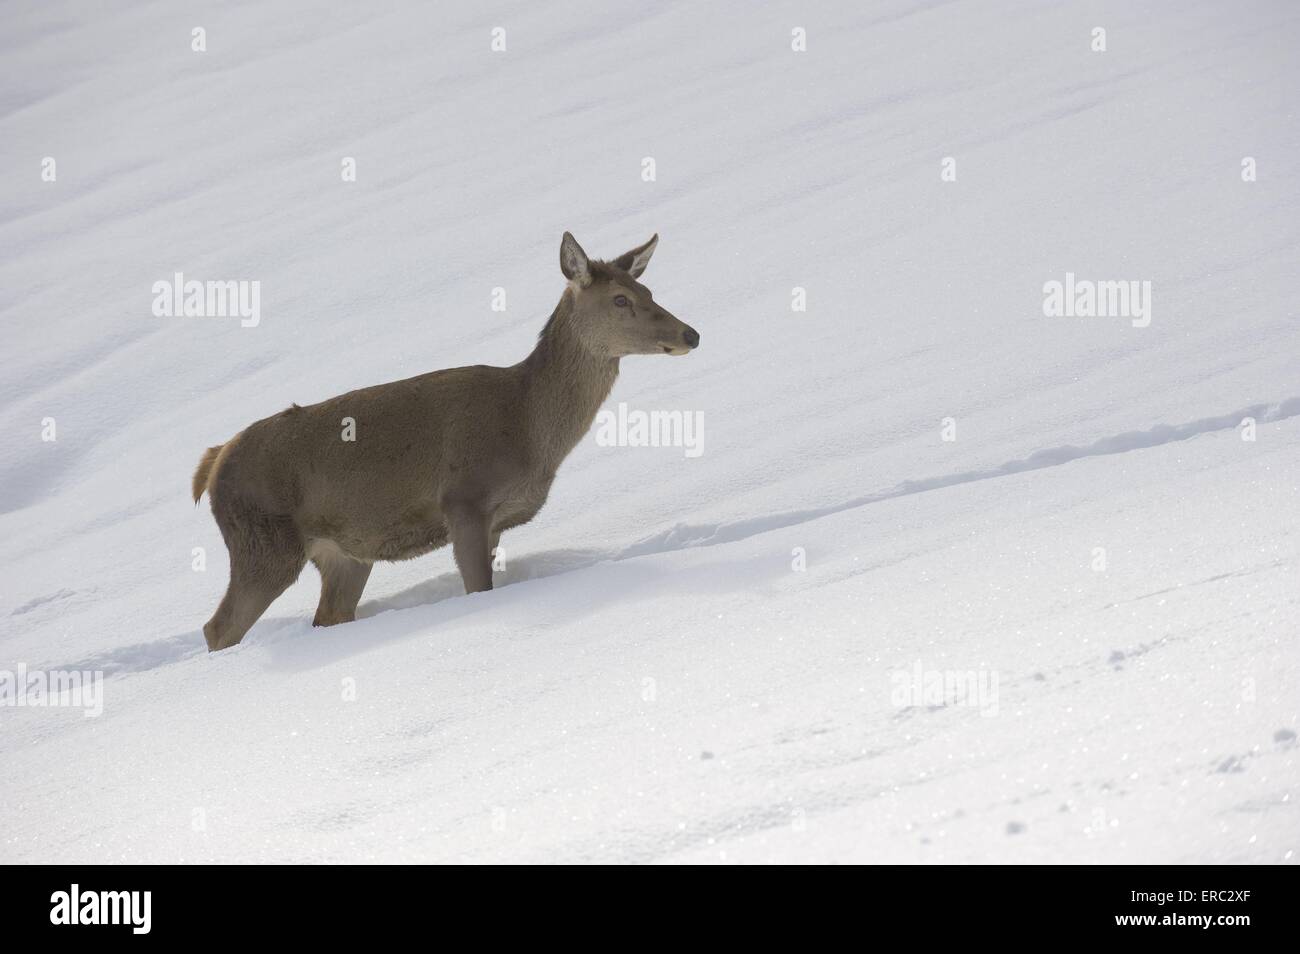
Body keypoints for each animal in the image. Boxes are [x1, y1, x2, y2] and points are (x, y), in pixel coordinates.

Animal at [192, 232, 699, 651]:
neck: (528, 429)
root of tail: (211, 466)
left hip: (343, 555)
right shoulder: (464, 500)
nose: (690, 333)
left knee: (326, 616)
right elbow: (478, 588)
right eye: (620, 299)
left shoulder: (494, 520)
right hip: (262, 544)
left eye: (649, 292)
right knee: (218, 627)